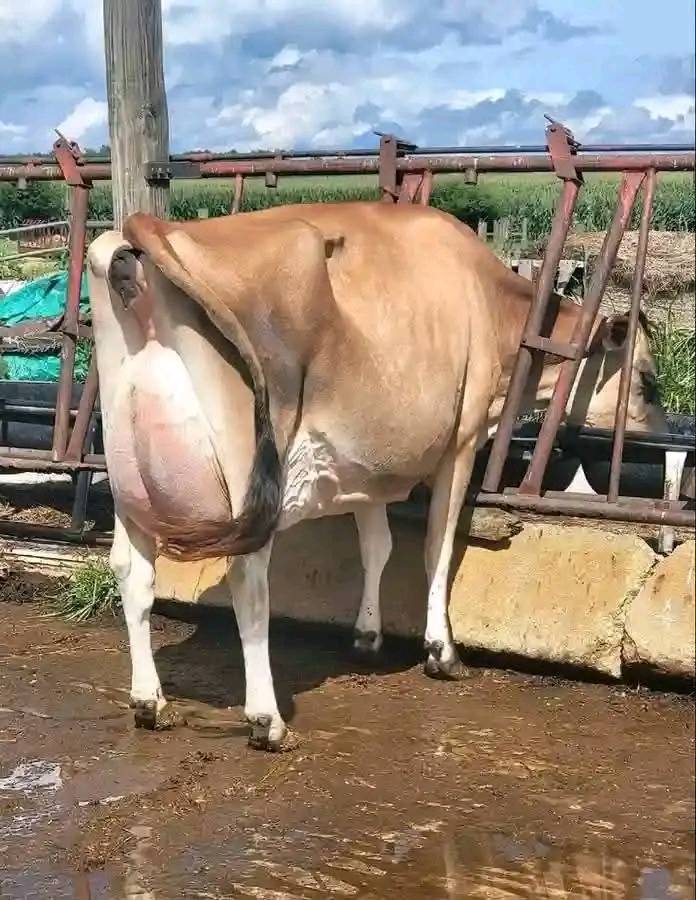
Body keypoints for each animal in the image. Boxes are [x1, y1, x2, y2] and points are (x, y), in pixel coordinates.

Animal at [86, 201, 676, 750]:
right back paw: (267, 721)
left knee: (132, 574)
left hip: (130, 486)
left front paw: (367, 633)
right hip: (250, 474)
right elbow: (438, 547)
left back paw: (150, 702)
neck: (489, 299)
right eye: (647, 380)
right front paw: (442, 651)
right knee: (247, 582)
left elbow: (377, 545)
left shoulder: (367, 466)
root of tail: (152, 228)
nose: (666, 436)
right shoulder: (461, 441)